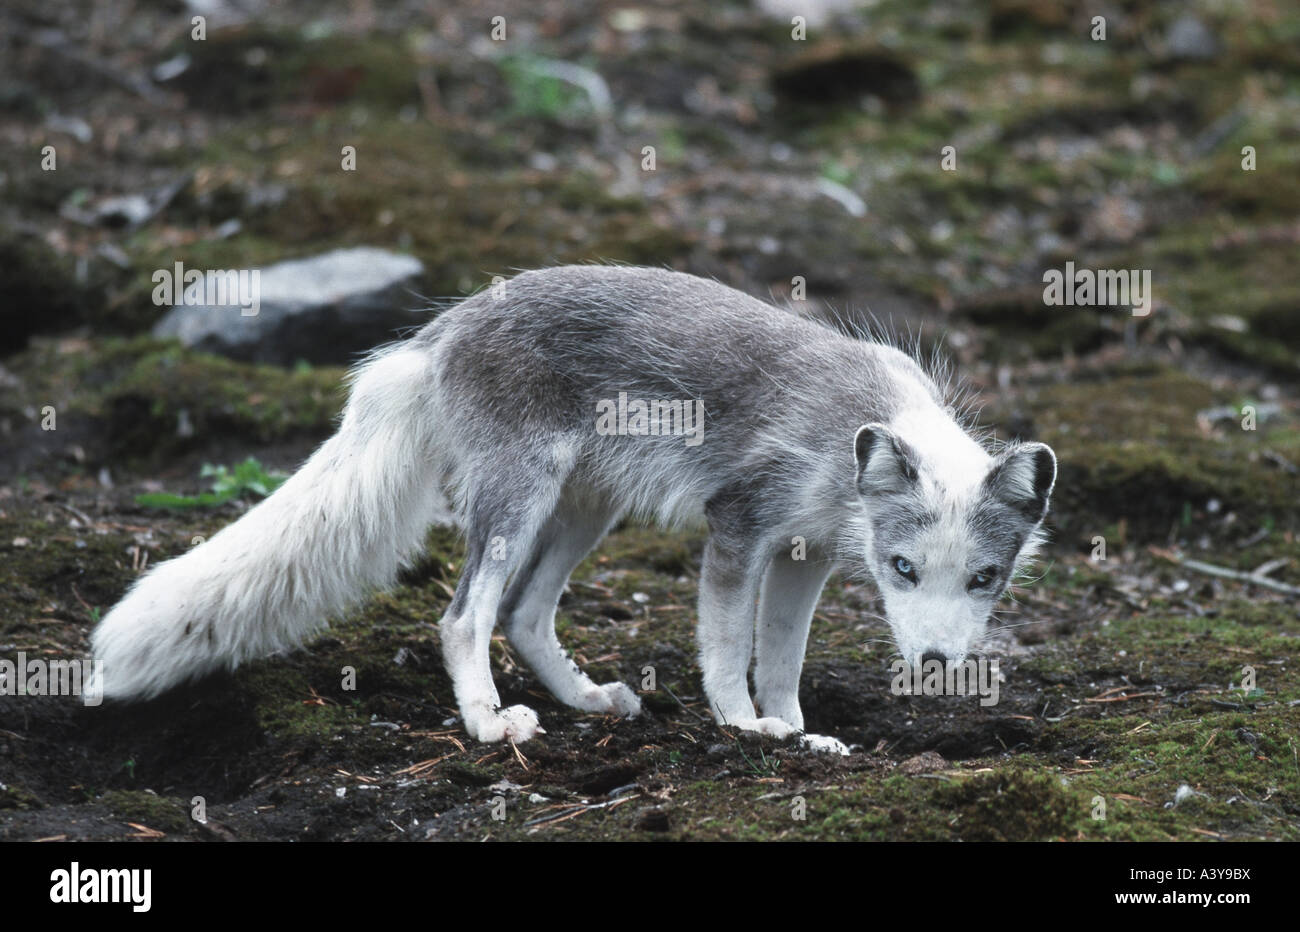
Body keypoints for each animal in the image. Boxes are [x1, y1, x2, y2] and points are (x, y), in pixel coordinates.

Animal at [90, 265, 1056, 755]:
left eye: (984, 580)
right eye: (903, 569)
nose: (935, 663)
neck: (852, 434)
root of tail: (442, 330)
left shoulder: (803, 553)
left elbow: (781, 659)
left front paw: (795, 730)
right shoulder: (740, 525)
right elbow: (726, 651)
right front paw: (744, 728)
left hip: (587, 508)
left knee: (523, 613)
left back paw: (586, 700)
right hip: (522, 492)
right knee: (464, 615)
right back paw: (488, 723)